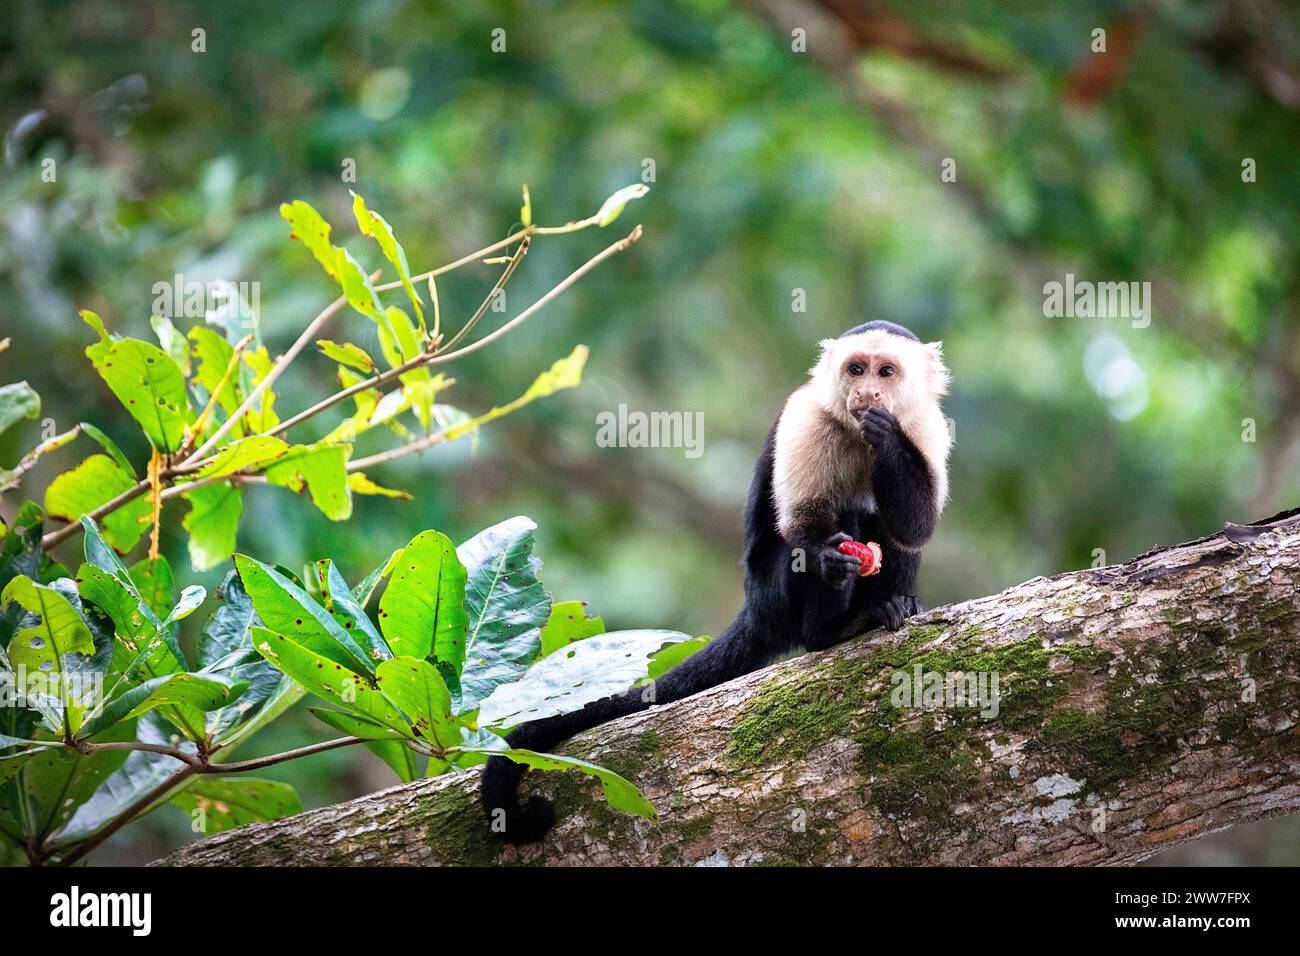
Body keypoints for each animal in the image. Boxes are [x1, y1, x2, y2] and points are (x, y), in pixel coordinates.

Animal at [480, 319, 952, 843]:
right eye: (856, 369)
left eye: (885, 372)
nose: (867, 391)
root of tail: (755, 608)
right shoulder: (806, 417)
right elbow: (802, 528)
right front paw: (829, 559)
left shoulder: (927, 424)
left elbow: (915, 525)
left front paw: (886, 438)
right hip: (772, 596)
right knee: (840, 524)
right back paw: (831, 631)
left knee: (888, 528)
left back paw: (890, 605)